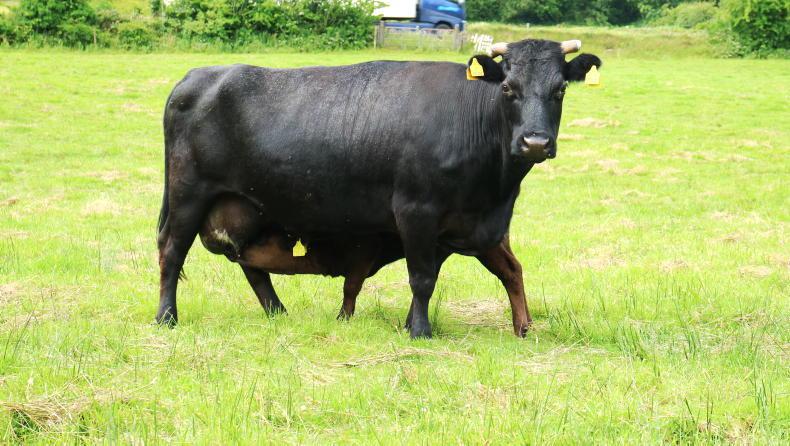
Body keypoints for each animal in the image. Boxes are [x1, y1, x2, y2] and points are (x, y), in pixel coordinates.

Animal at [198, 195, 531, 335]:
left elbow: (350, 288)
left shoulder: (362, 254)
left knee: (511, 272)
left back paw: (522, 326)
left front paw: (343, 317)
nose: (217, 237)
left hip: (484, 245)